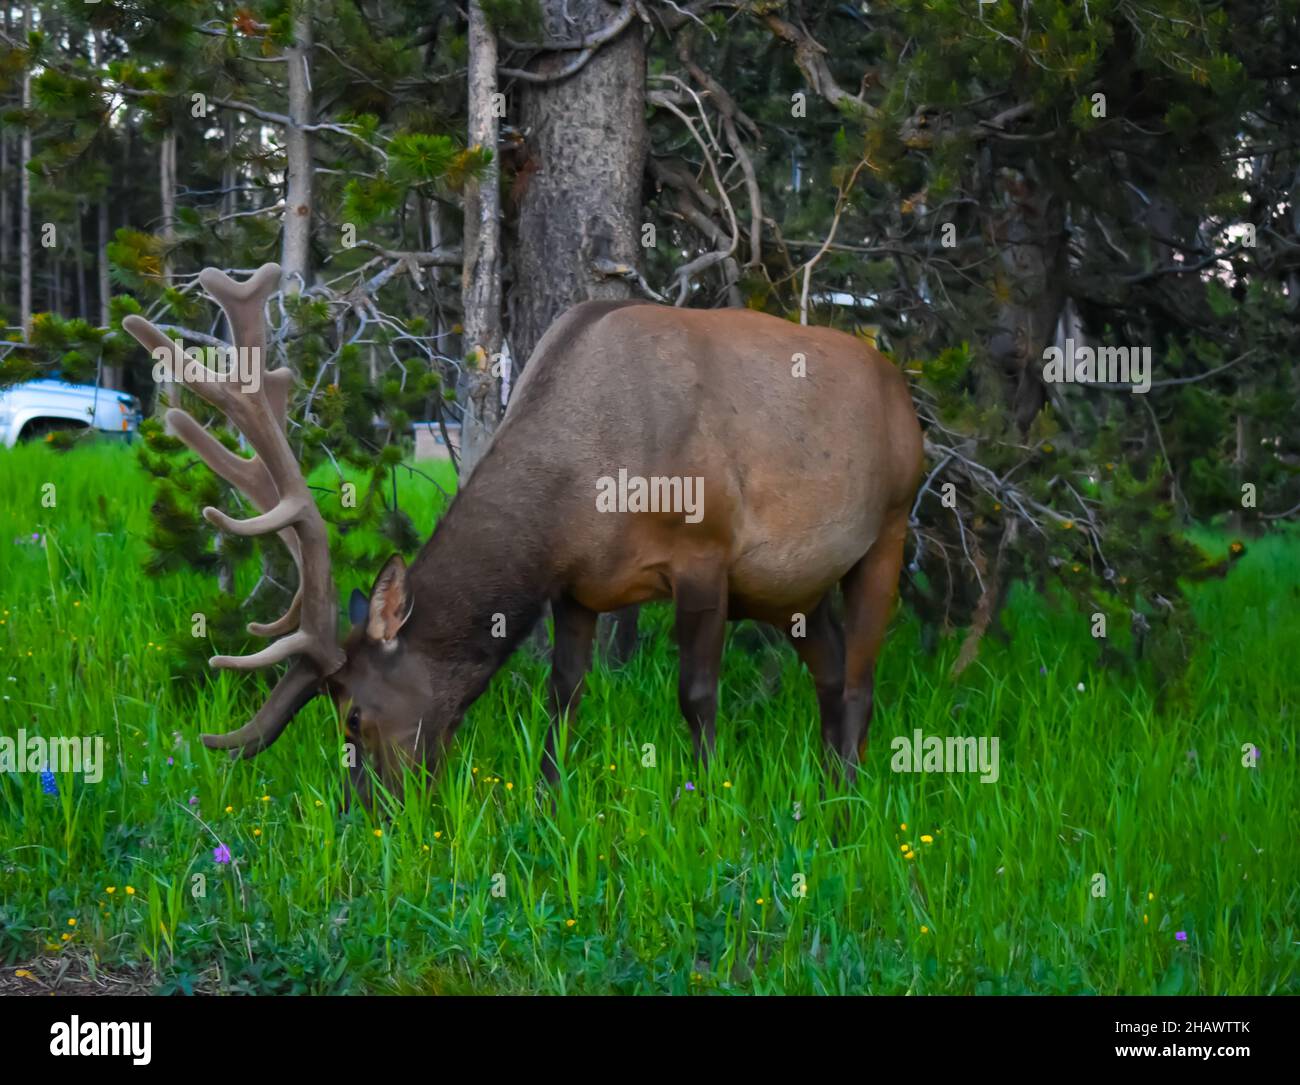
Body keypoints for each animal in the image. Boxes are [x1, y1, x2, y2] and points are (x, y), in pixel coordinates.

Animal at [123, 264, 923, 800]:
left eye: (352, 715)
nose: (363, 811)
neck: (587, 481)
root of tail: (903, 387)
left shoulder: (706, 552)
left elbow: (696, 694)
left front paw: (702, 798)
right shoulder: (577, 585)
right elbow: (562, 694)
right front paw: (546, 799)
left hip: (888, 527)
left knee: (860, 679)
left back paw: (848, 798)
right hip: (789, 586)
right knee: (829, 667)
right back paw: (828, 780)